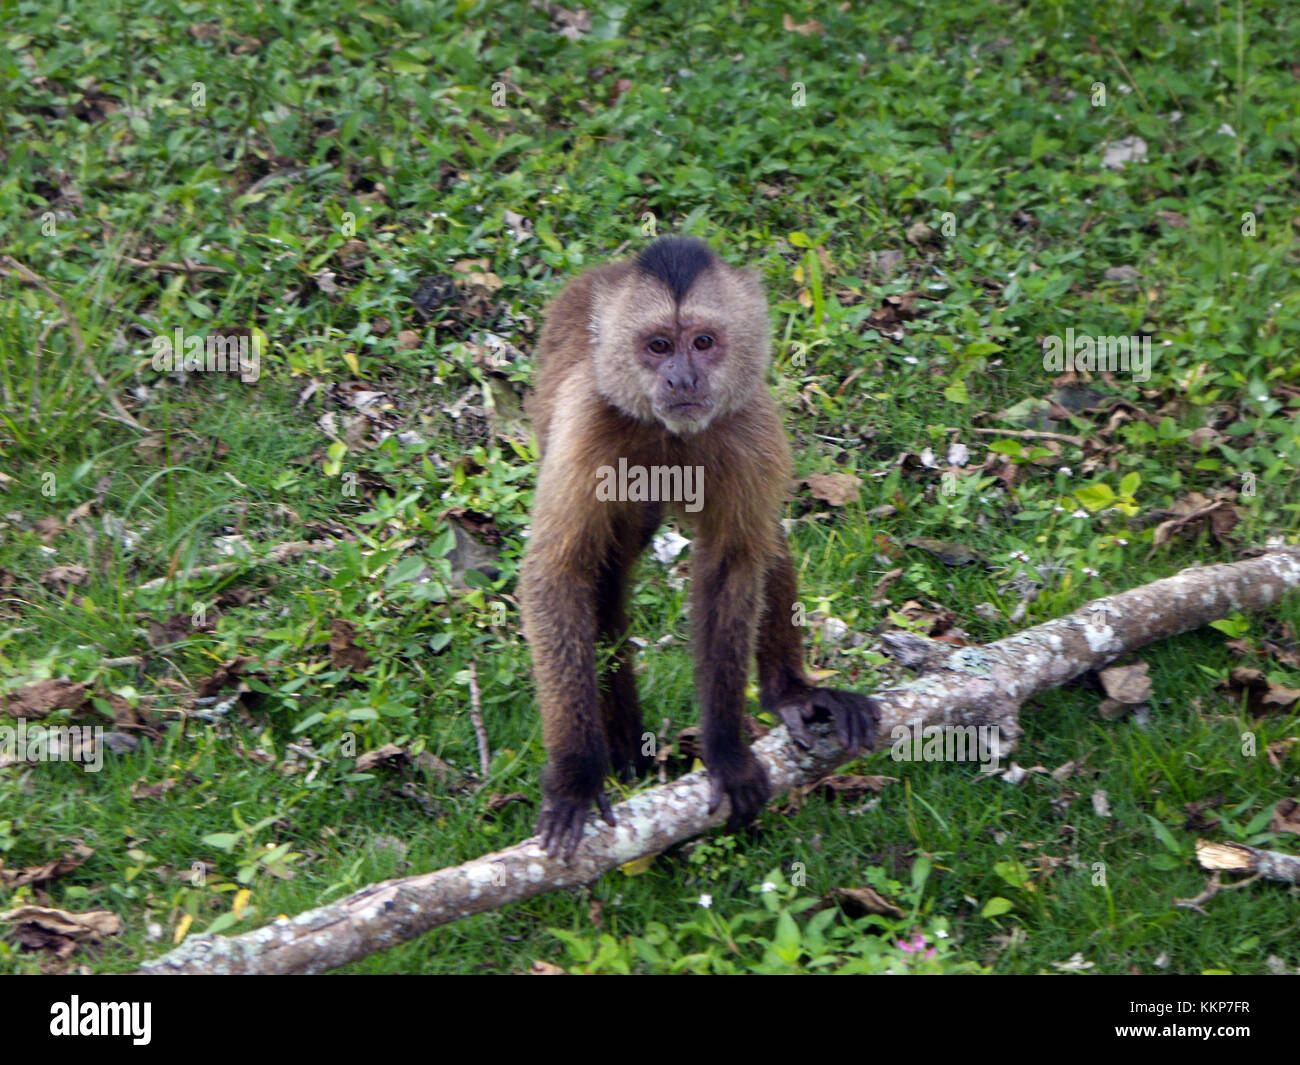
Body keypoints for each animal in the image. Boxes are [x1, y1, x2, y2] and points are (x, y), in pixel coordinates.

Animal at [520, 235, 879, 860]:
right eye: (660, 346)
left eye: (704, 343)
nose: (683, 380)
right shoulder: (587, 421)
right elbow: (557, 574)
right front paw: (574, 778)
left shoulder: (749, 425)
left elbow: (732, 566)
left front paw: (727, 754)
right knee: (603, 580)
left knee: (763, 539)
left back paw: (790, 693)